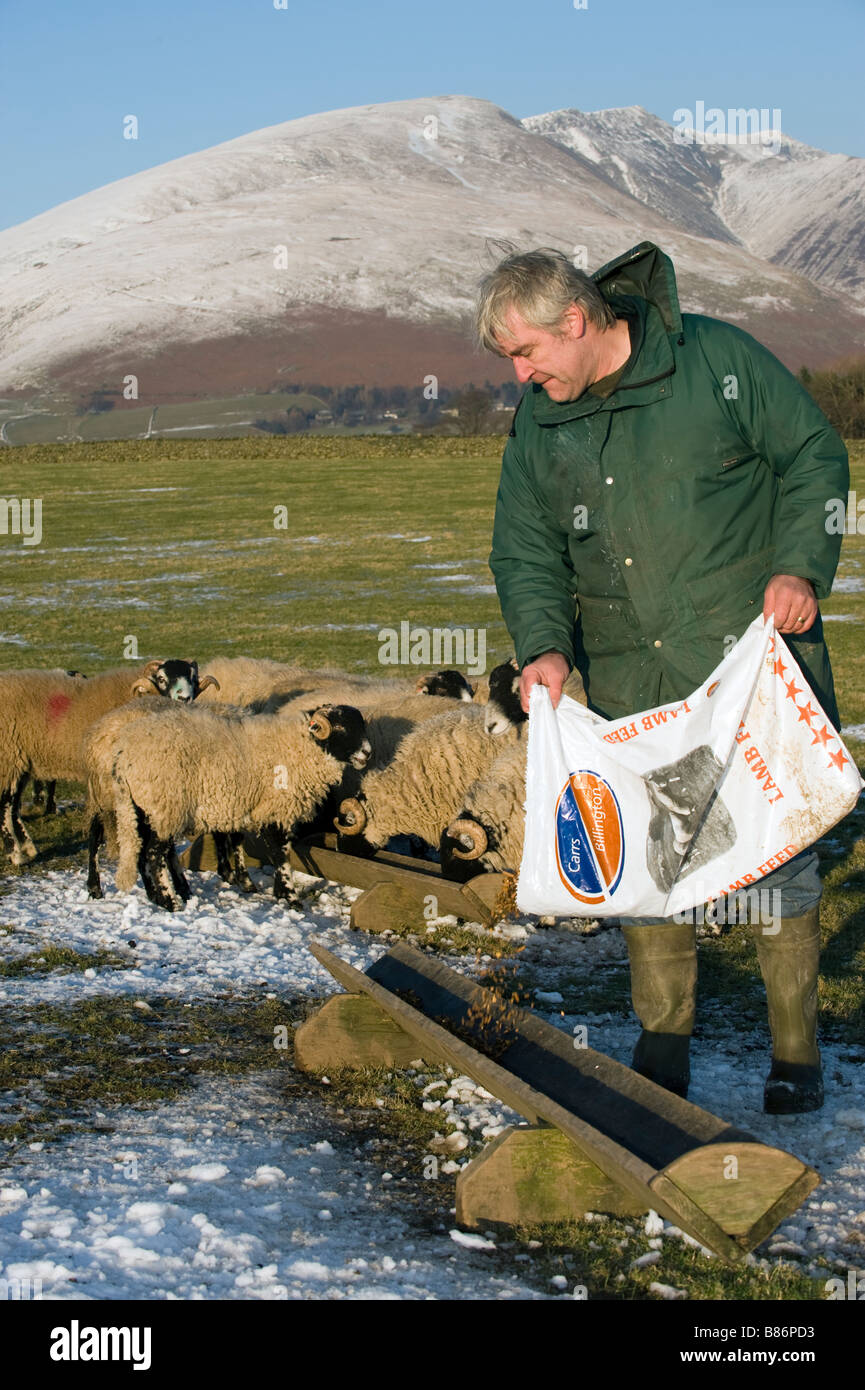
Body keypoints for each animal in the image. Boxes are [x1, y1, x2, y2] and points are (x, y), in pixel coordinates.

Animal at [0, 659, 215, 866]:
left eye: (192, 677)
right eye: (161, 678)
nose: (184, 698)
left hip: (20, 762)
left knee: (13, 805)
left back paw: (27, 848)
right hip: (7, 757)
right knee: (5, 804)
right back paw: (16, 855)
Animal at [106, 702, 370, 911]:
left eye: (361, 726)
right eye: (341, 727)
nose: (367, 753)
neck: (302, 746)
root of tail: (122, 755)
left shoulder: (247, 807)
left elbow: (247, 845)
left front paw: (258, 886)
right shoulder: (275, 809)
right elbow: (280, 852)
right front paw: (290, 897)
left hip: (144, 810)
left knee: (143, 852)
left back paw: (156, 897)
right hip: (166, 807)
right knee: (154, 854)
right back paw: (170, 902)